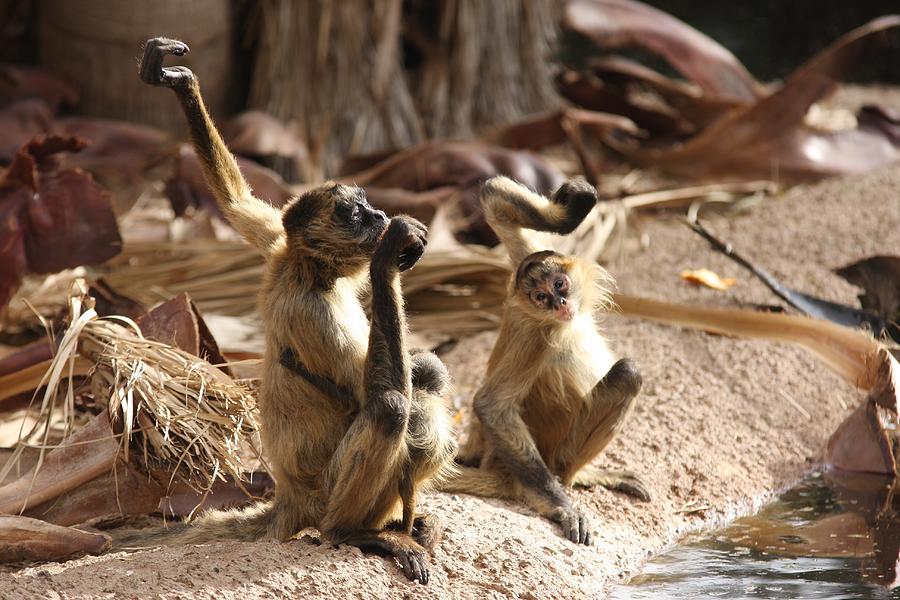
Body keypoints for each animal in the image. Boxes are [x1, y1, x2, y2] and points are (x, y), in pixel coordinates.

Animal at [118, 38, 456, 583]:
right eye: (356, 216)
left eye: (365, 205)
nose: (379, 214)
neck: (308, 271)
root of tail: (292, 498)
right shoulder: (313, 311)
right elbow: (373, 397)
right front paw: (389, 253)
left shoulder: (277, 244)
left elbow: (237, 204)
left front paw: (180, 82)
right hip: (329, 493)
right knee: (392, 407)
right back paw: (352, 532)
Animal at [439, 176, 648, 545]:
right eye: (541, 297)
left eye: (559, 283)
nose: (560, 303)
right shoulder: (536, 334)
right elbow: (492, 406)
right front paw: (562, 507)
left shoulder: (521, 273)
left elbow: (494, 197)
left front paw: (575, 201)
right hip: (558, 454)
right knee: (628, 372)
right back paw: (569, 481)